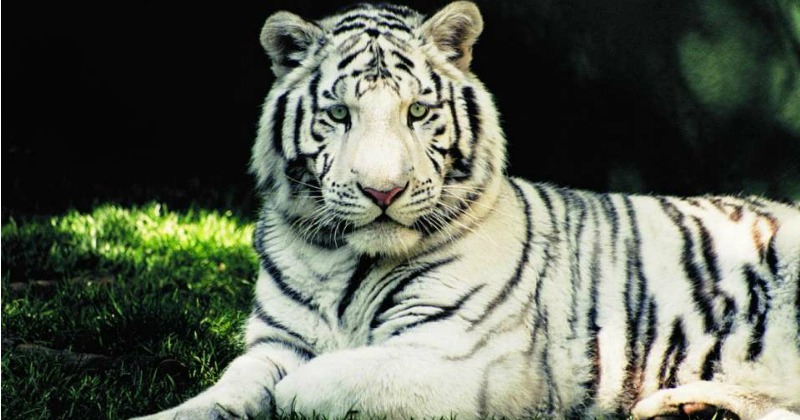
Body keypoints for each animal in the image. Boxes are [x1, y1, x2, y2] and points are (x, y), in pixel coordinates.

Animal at [133, 1, 800, 419]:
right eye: (340, 114)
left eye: (417, 112)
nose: (383, 191)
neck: (344, 264)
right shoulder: (275, 343)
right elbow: (223, 393)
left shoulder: (457, 357)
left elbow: (303, 390)